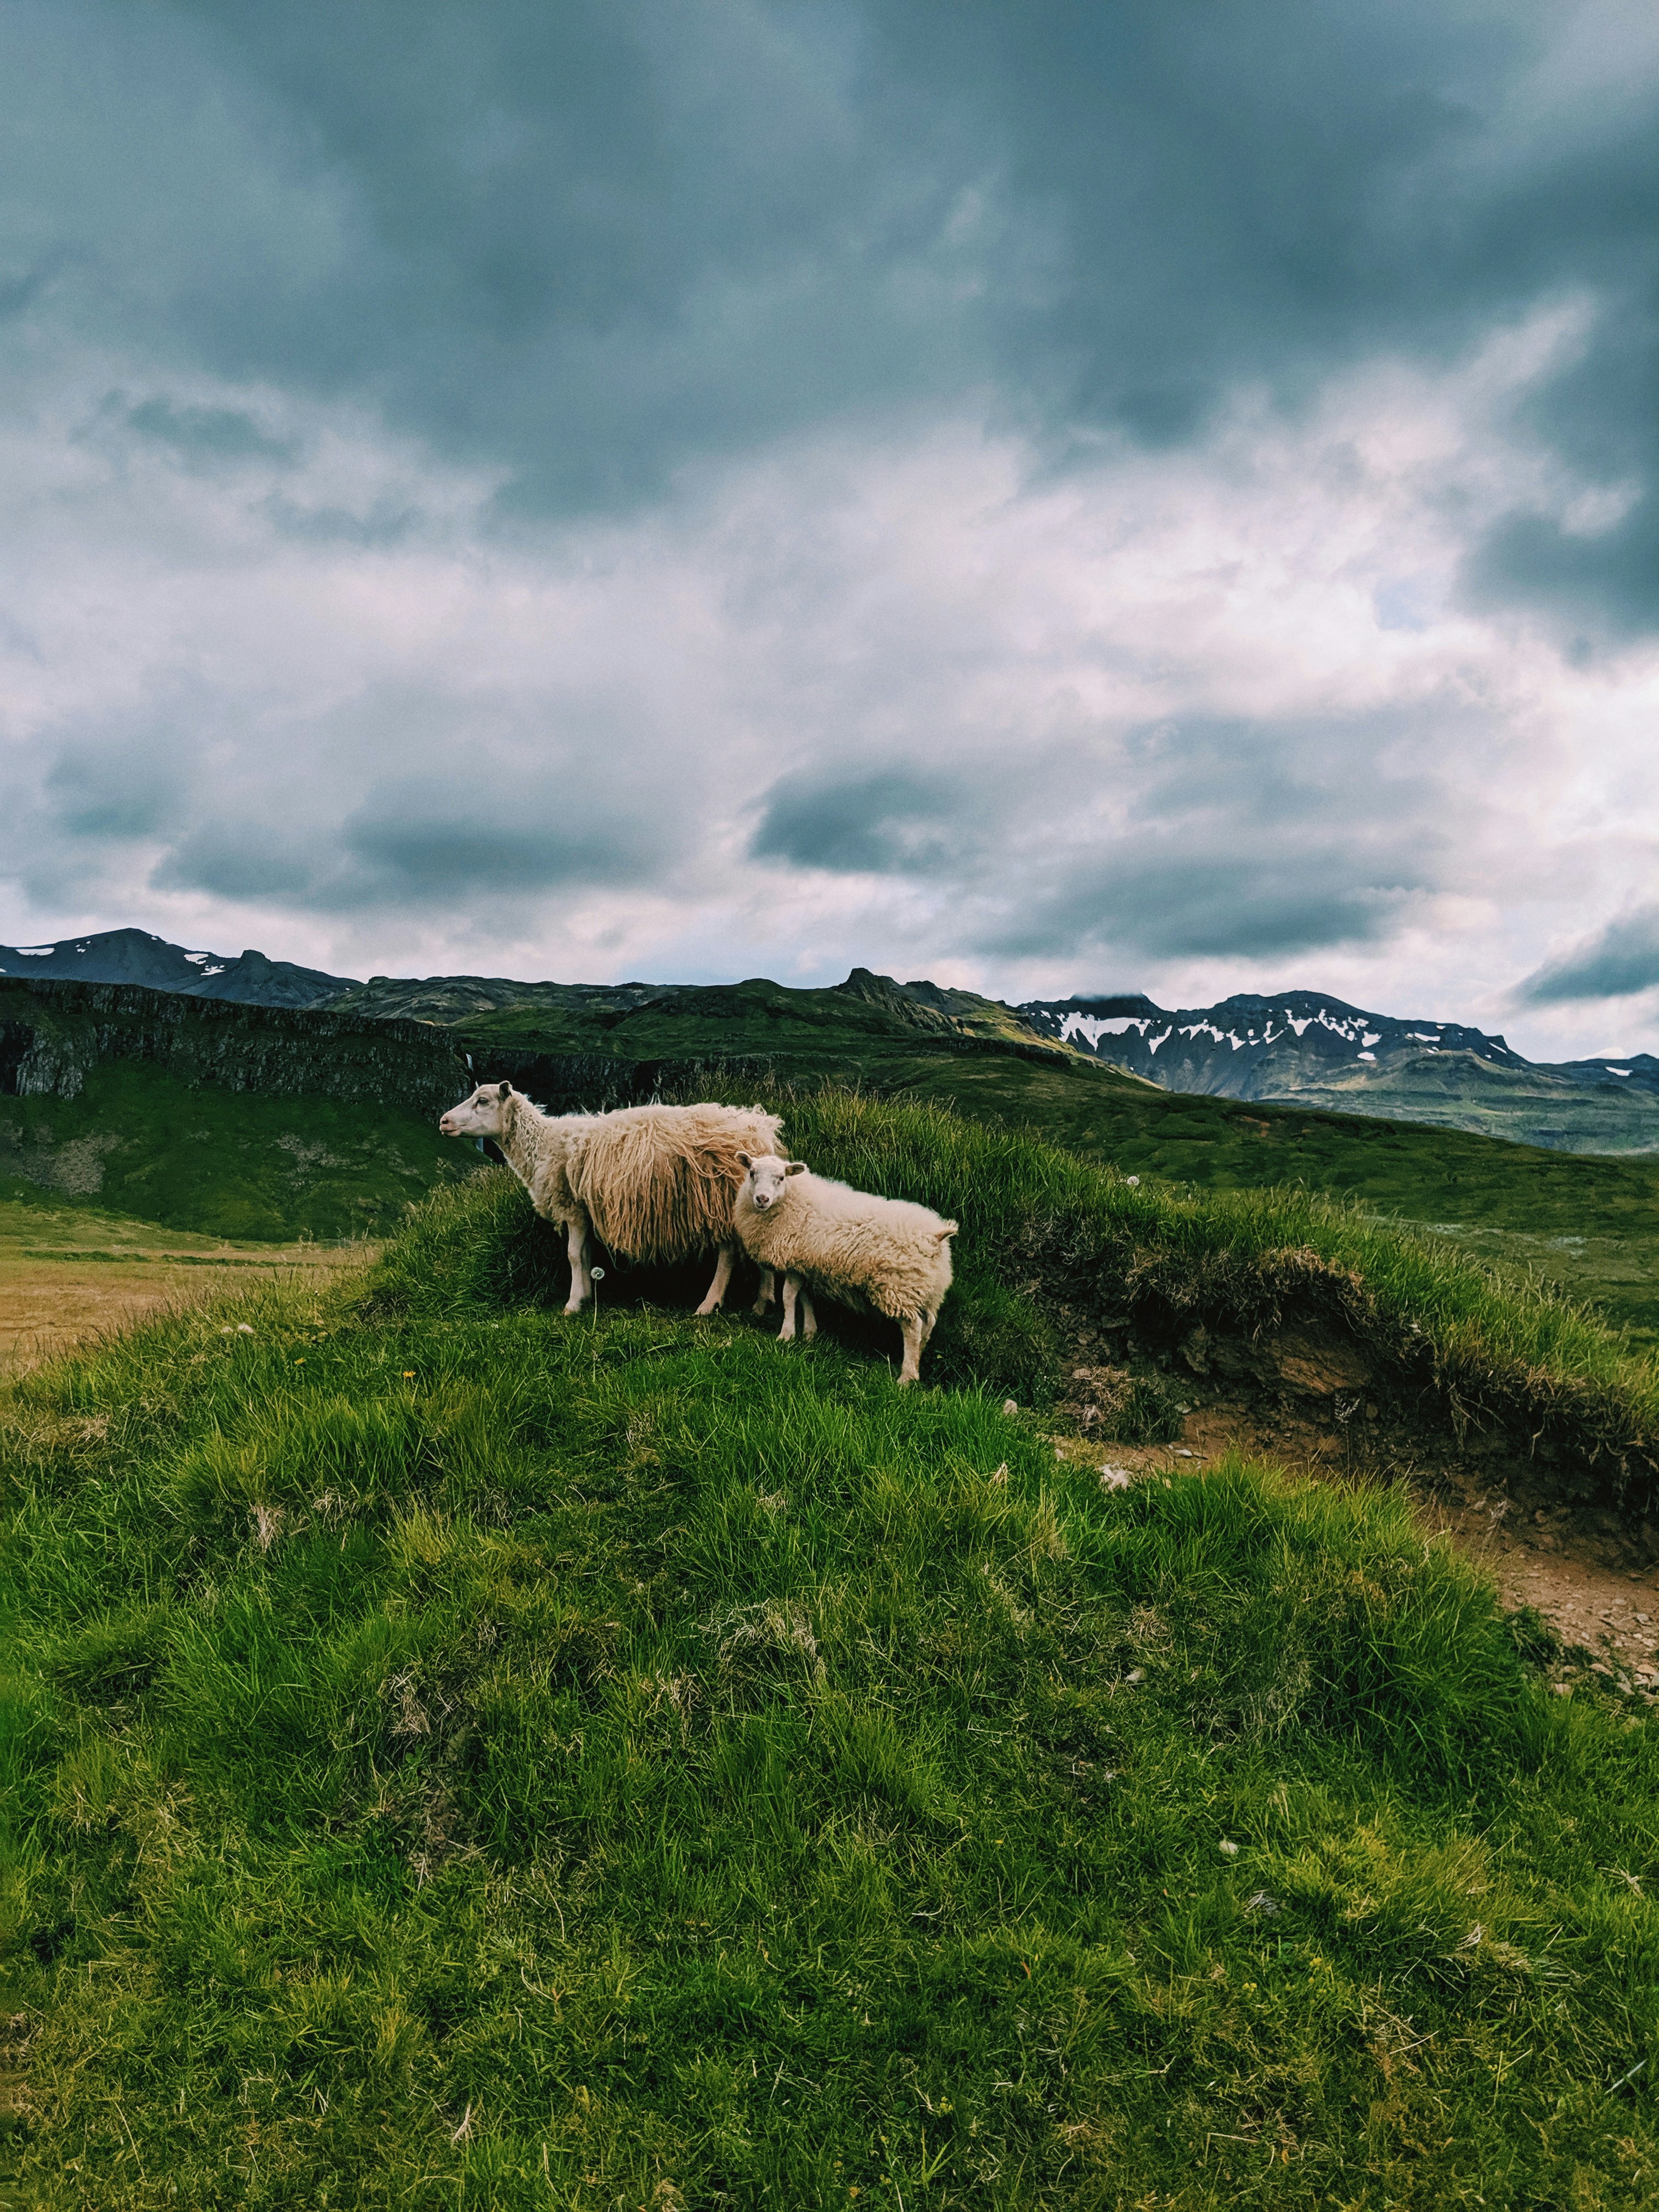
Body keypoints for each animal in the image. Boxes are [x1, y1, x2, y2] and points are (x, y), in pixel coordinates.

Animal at [439, 1084, 783, 1316]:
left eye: (483, 1101)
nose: (443, 1121)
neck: (543, 1143)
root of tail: (761, 1130)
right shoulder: (586, 1210)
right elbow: (586, 1255)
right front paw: (587, 1295)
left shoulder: (572, 1206)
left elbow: (573, 1256)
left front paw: (573, 1304)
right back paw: (762, 1302)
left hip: (720, 1198)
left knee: (727, 1255)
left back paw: (709, 1304)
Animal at [732, 1152, 957, 1385]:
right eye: (752, 1173)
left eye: (782, 1178)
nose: (762, 1199)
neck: (794, 1200)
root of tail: (936, 1236)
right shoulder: (805, 1264)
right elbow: (805, 1297)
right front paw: (809, 1332)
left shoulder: (794, 1262)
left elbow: (789, 1297)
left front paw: (786, 1335)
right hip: (927, 1289)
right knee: (928, 1325)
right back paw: (917, 1360)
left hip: (899, 1286)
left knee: (913, 1328)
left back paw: (906, 1376)